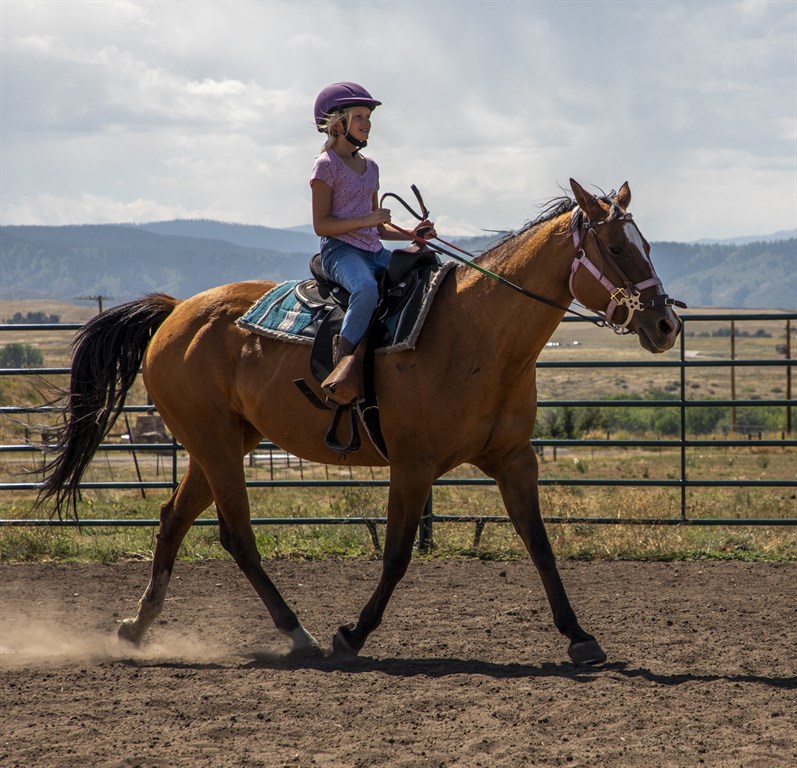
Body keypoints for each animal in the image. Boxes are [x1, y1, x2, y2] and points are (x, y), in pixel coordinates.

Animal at [40, 179, 682, 665]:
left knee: (174, 519)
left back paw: (137, 628)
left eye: (647, 243)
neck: (476, 333)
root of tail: (177, 311)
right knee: (236, 533)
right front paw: (351, 634)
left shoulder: (514, 459)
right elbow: (396, 555)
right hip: (217, 446)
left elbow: (540, 545)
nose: (666, 325)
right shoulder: (414, 465)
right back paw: (296, 633)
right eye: (617, 248)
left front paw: (581, 638)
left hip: (219, 444)